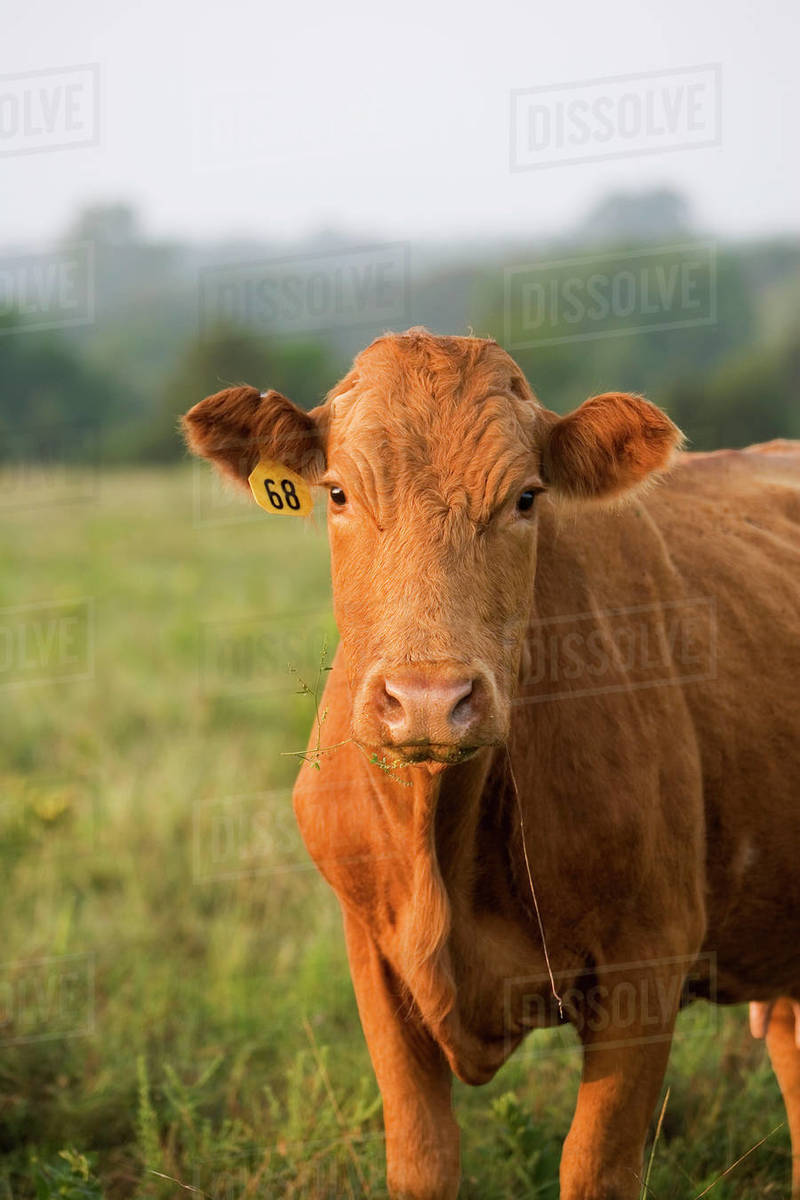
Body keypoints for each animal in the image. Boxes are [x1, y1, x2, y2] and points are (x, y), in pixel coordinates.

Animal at [183, 328, 800, 1199]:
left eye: (527, 498)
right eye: (337, 493)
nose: (429, 698)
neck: (444, 836)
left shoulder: (650, 958)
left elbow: (596, 1166)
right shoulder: (372, 955)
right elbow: (422, 1156)